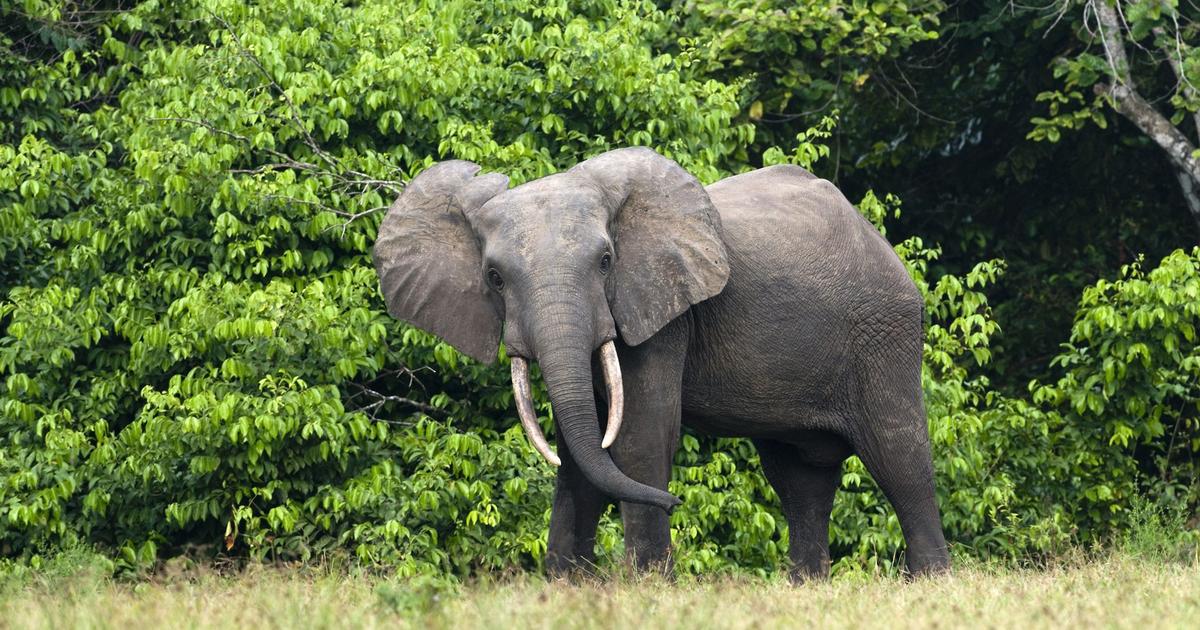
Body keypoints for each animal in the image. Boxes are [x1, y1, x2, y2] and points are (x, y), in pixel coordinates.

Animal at [372, 147, 950, 580]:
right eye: (493, 277)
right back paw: (807, 587)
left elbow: (638, 437)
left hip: (883, 331)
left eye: (607, 262)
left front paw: (647, 583)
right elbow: (583, 451)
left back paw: (930, 582)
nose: (674, 503)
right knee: (799, 477)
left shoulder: (661, 311)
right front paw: (567, 587)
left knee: (898, 455)